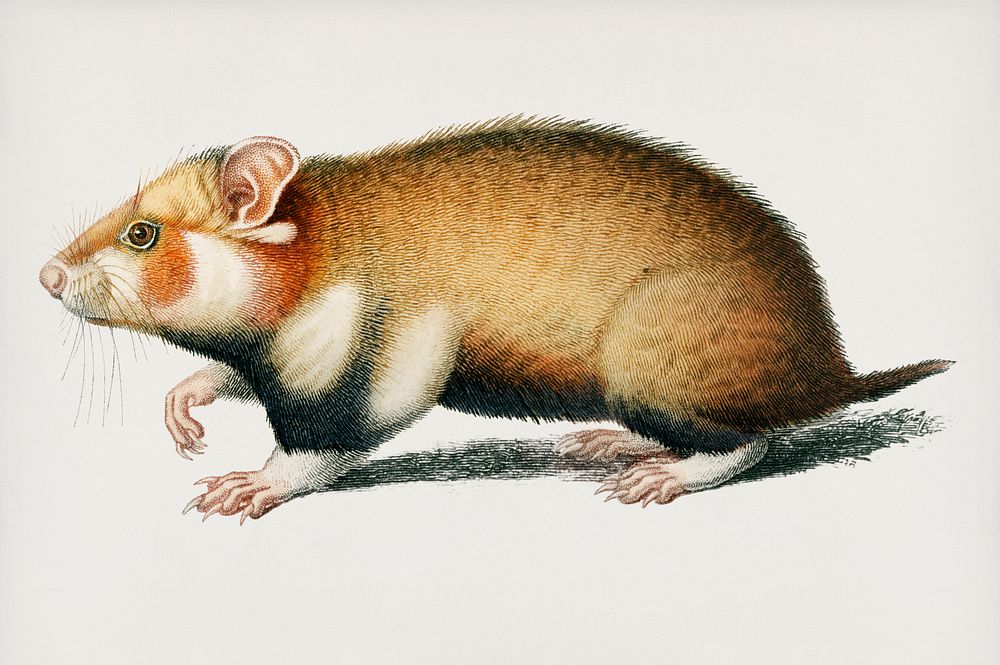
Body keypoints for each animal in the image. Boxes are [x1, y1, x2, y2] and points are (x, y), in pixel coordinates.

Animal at [39, 118, 952, 520]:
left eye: (141, 232)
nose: (45, 274)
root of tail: (827, 368)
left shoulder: (380, 358)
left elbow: (323, 441)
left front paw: (254, 481)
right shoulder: (262, 356)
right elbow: (223, 374)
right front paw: (187, 400)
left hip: (647, 360)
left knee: (753, 442)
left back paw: (664, 470)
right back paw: (614, 442)